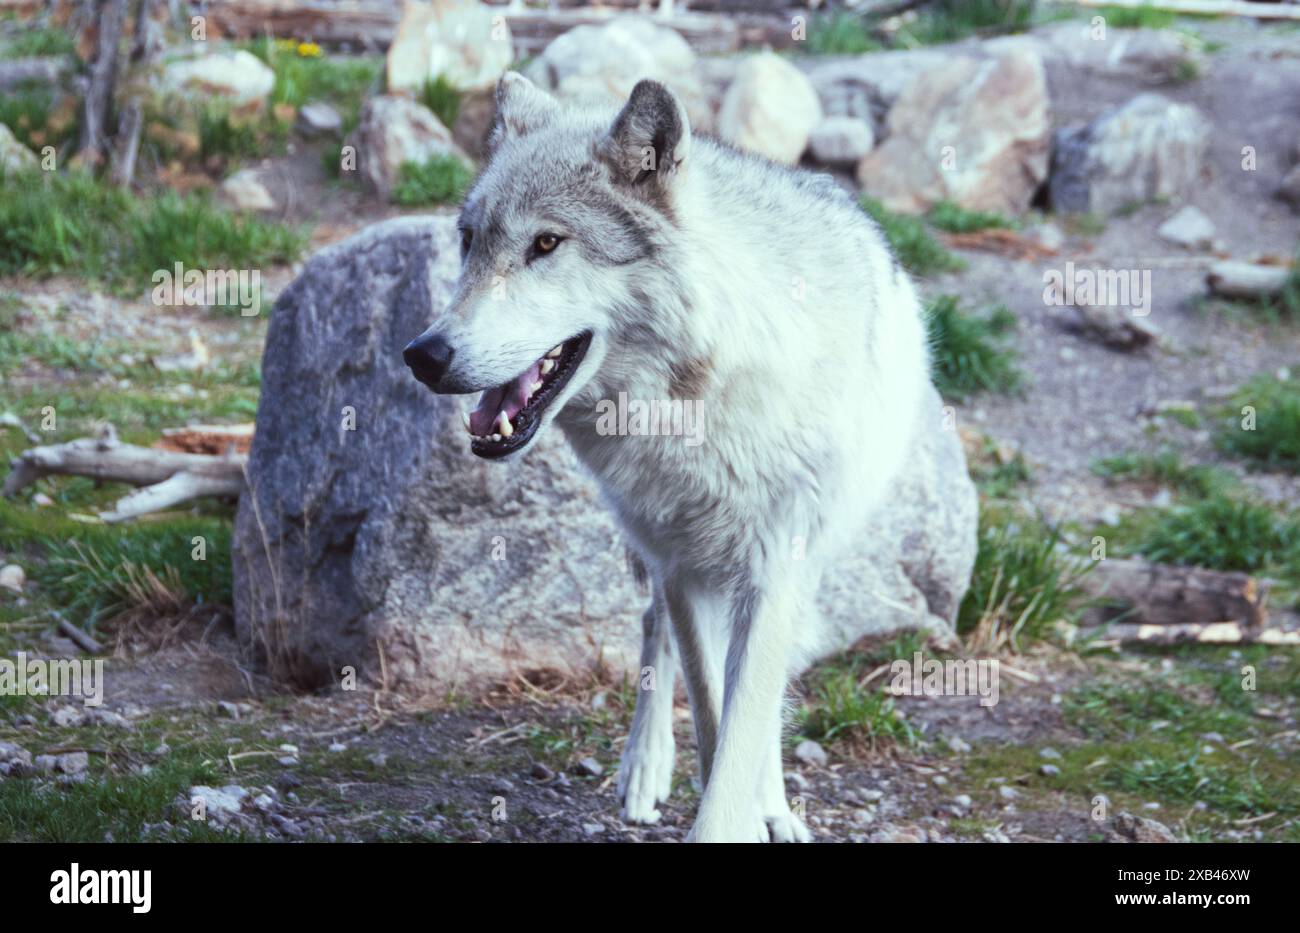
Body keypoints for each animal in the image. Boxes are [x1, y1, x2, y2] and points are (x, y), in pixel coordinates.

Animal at [404, 72, 931, 842]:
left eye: (547, 243)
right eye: (469, 242)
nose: (423, 354)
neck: (693, 402)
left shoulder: (772, 574)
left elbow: (744, 724)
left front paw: (749, 810)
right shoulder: (682, 566)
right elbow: (711, 717)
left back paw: (774, 804)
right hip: (658, 551)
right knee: (656, 630)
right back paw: (645, 768)